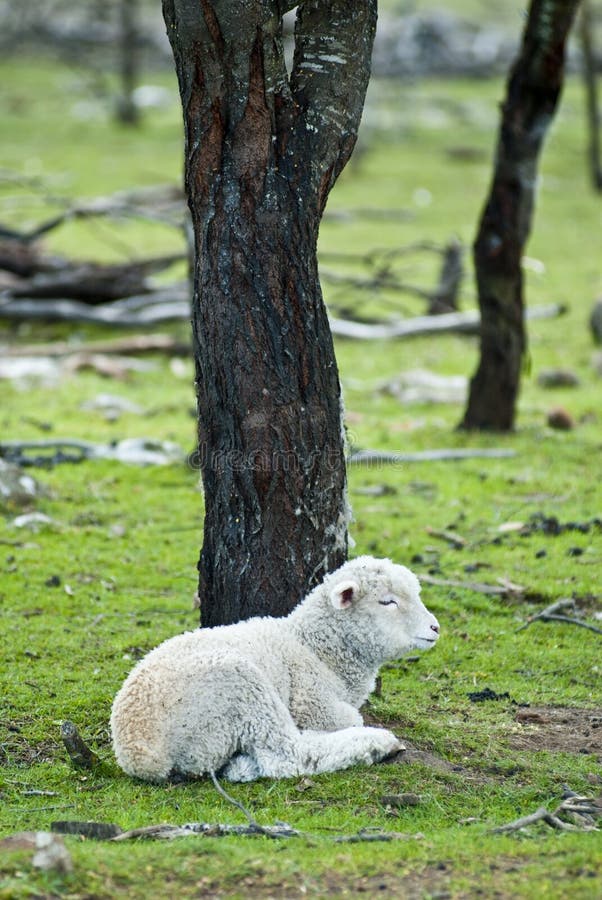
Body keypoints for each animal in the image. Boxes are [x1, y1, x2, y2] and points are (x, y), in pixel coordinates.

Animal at [110, 555, 440, 783]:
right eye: (387, 602)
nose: (435, 628)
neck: (315, 648)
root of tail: (140, 753)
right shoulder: (313, 702)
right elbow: (348, 718)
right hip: (242, 687)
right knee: (289, 754)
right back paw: (378, 744)